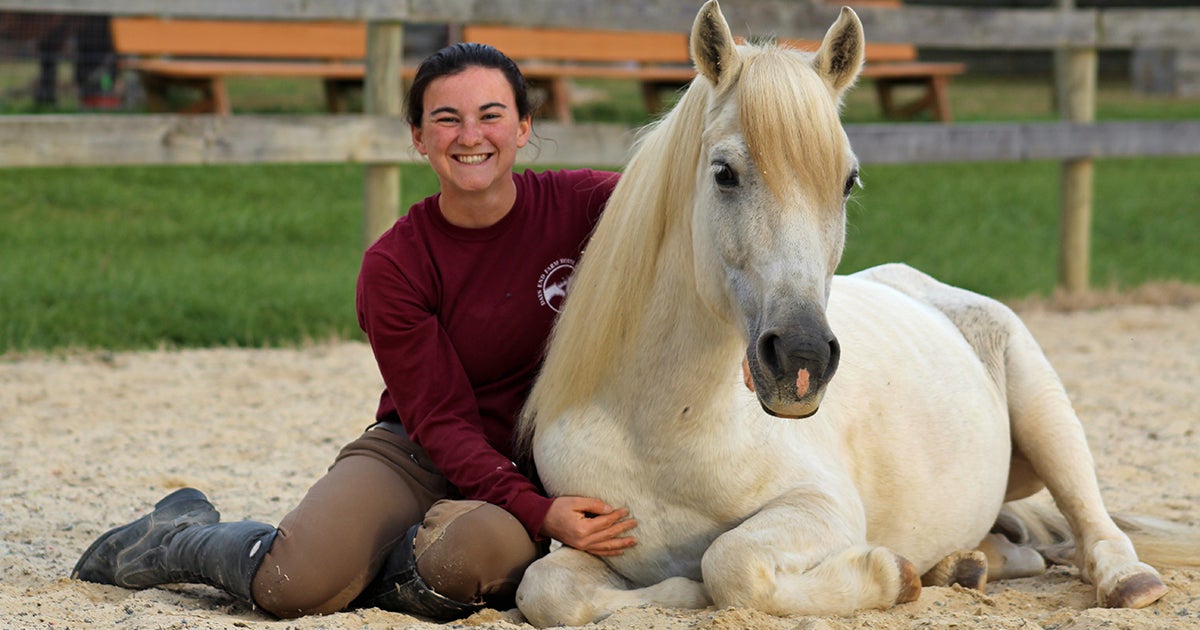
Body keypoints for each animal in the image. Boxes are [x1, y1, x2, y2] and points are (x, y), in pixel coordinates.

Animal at [513, 1, 1197, 626]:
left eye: (848, 181)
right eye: (725, 173)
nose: (801, 359)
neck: (664, 431)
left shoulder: (823, 510)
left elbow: (729, 564)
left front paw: (889, 574)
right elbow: (547, 588)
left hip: (1046, 411)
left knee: (1092, 521)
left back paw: (1125, 579)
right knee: (1024, 550)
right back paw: (964, 566)